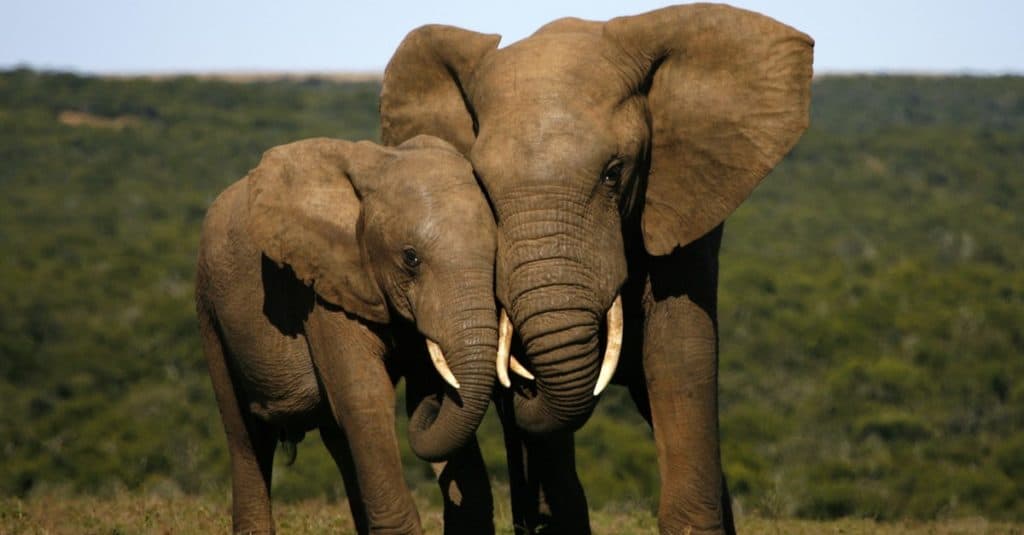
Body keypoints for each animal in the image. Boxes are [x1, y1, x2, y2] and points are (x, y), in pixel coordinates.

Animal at [195, 136, 498, 534]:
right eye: (410, 258)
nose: (434, 405)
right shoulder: (321, 286)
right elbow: (364, 397)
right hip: (210, 309)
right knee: (245, 434)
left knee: (337, 439)